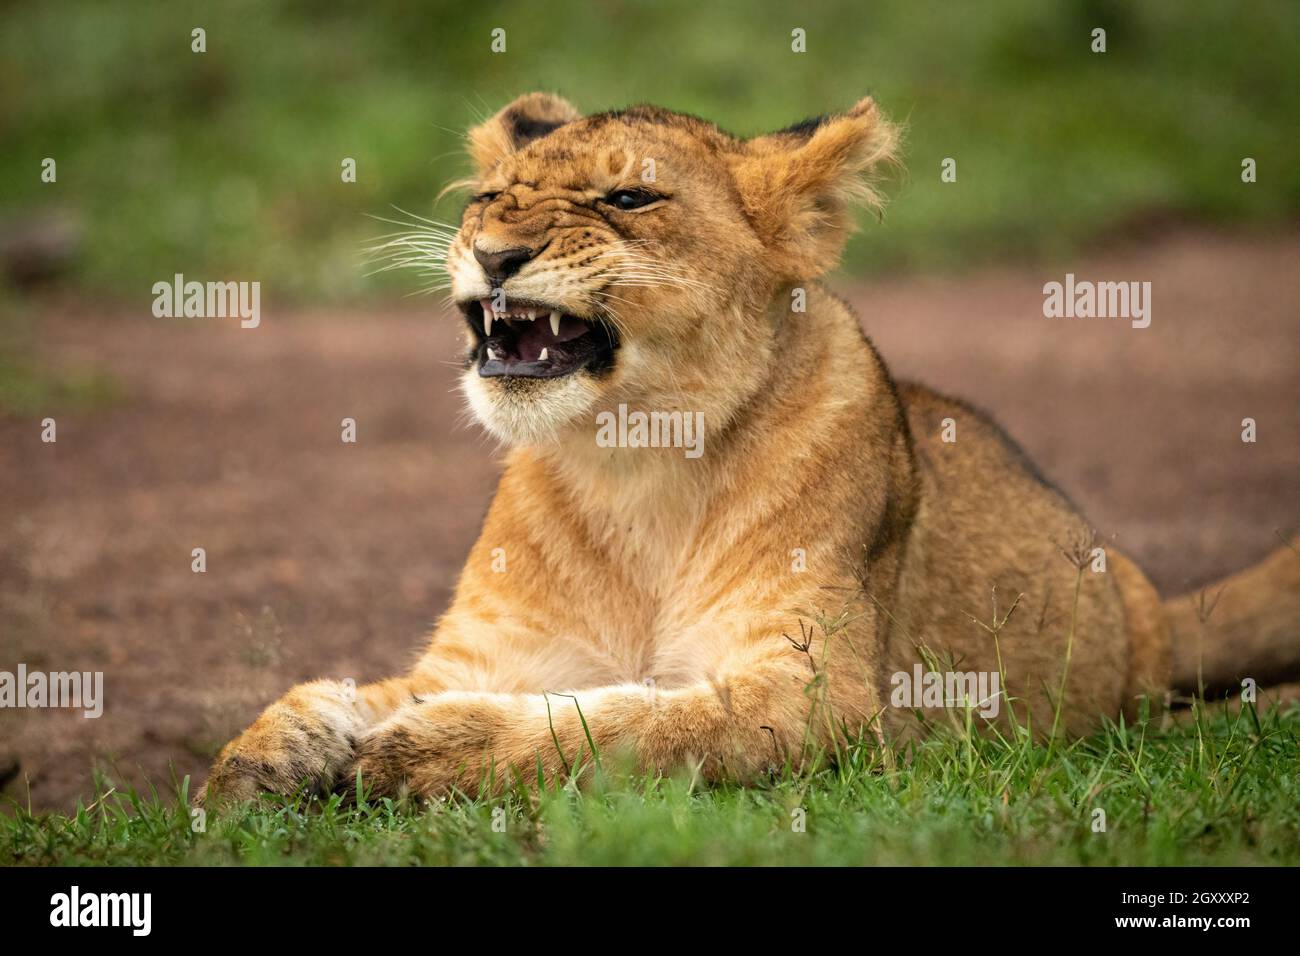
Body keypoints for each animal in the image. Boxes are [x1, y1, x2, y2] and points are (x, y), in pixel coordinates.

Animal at [200, 93, 1300, 803]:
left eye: (628, 200)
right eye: (487, 196)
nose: (495, 254)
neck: (633, 455)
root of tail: (1141, 598)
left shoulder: (818, 693)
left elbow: (629, 722)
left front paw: (421, 750)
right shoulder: (485, 652)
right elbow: (333, 694)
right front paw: (259, 760)